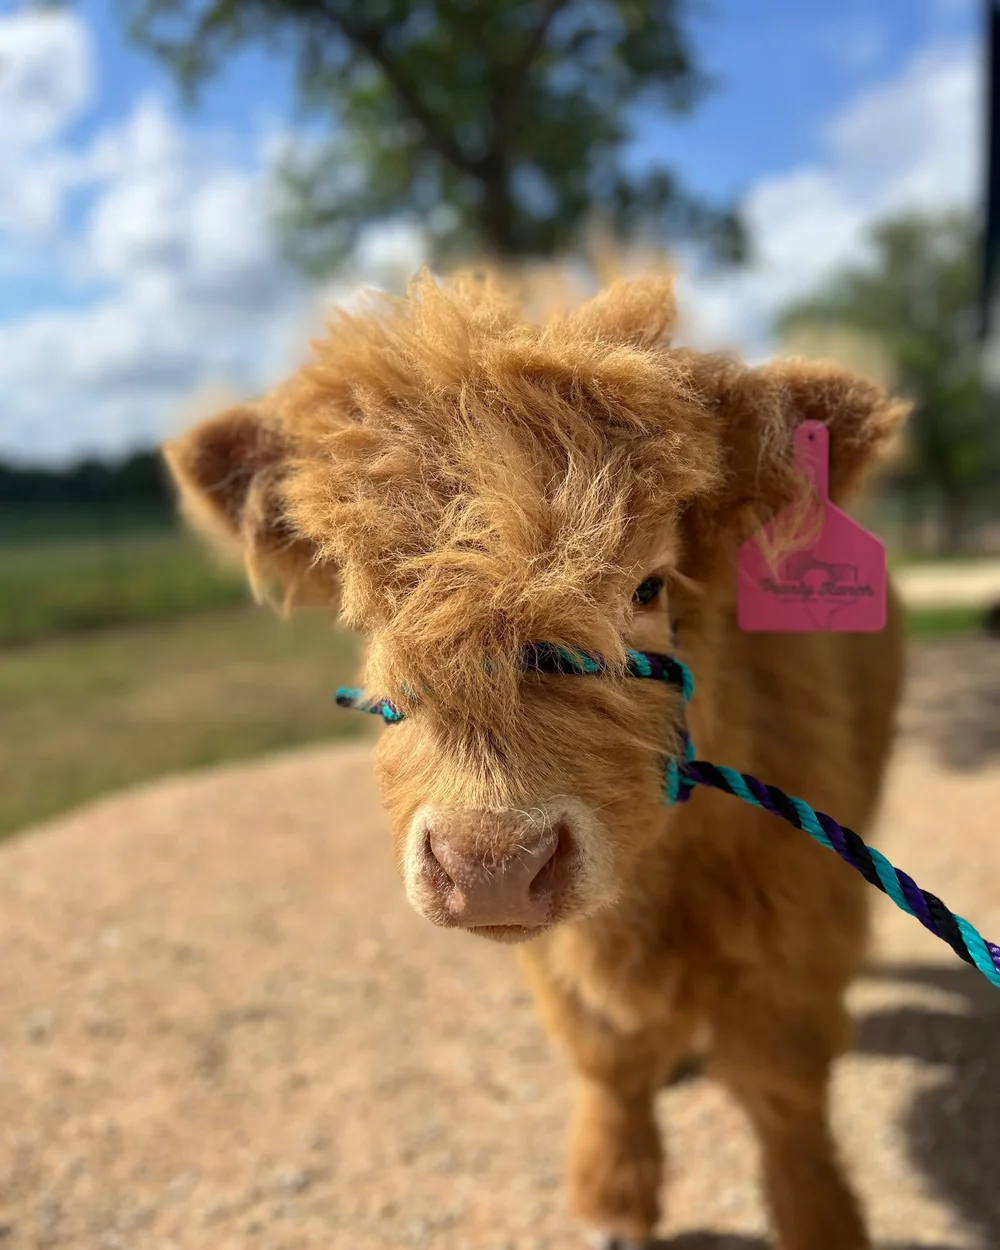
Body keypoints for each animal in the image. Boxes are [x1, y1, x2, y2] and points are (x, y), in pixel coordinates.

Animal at [165, 272, 907, 1249]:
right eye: (373, 613)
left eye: (648, 587)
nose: (491, 865)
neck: (649, 902)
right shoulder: (566, 963)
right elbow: (607, 1063)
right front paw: (617, 1201)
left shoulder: (795, 932)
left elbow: (783, 1095)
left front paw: (817, 1217)